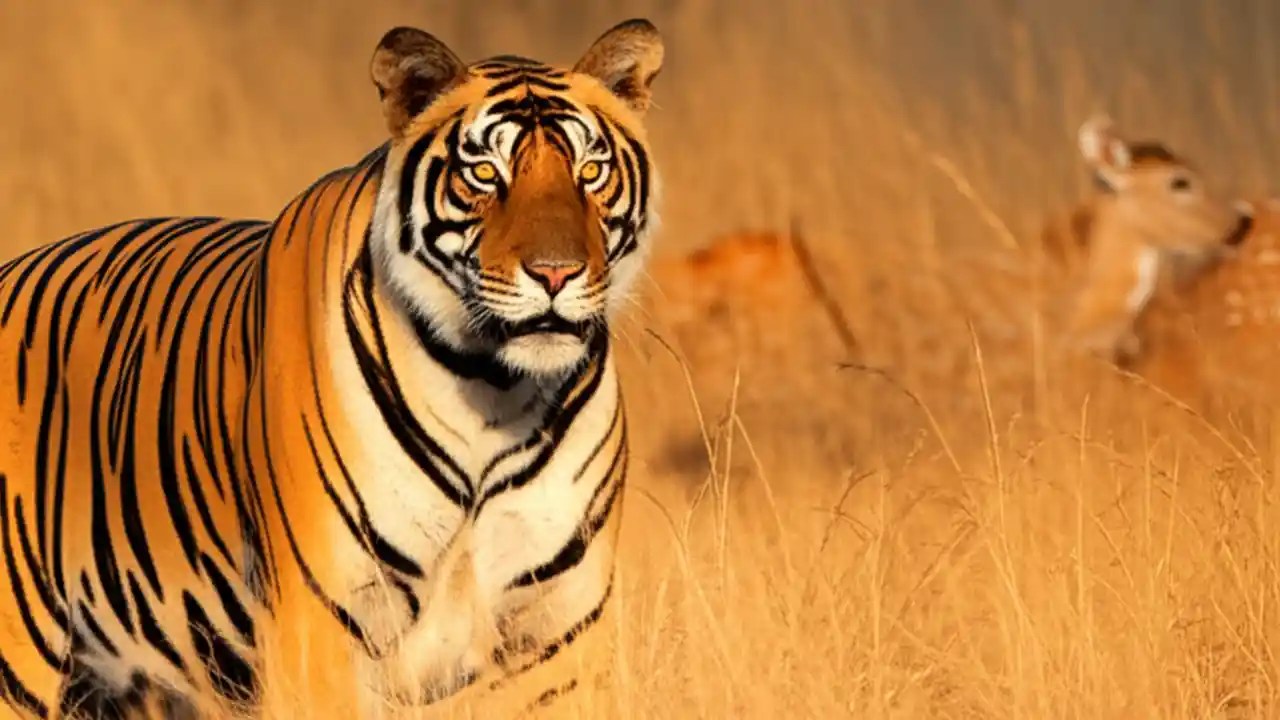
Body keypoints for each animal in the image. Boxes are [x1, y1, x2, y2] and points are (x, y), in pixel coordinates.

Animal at [0, 17, 663, 719]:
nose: (556, 274)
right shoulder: (323, 627)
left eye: (590, 171)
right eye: (484, 173)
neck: (493, 391)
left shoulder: (555, 636)